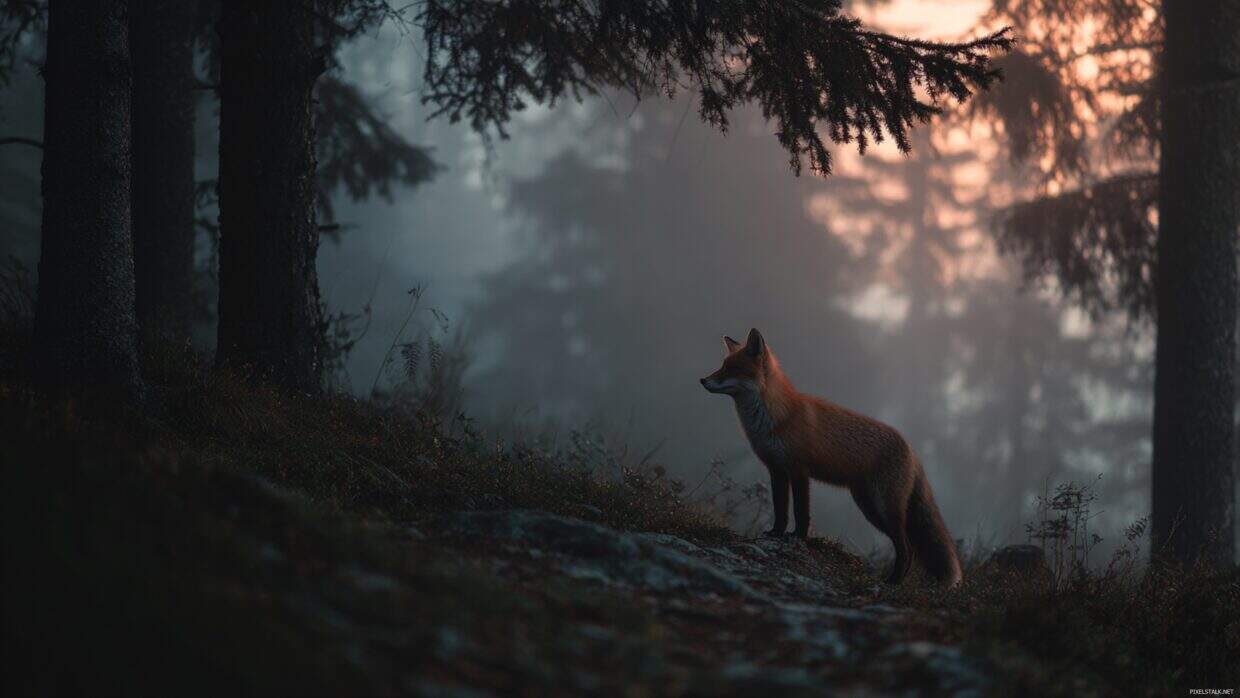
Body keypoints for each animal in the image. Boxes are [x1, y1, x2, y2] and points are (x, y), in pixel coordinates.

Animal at [700, 328, 963, 587]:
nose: (703, 380)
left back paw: (892, 582)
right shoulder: (776, 470)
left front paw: (797, 537)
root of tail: (912, 450)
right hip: (869, 506)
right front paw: (775, 533)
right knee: (910, 548)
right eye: (722, 365)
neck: (775, 419)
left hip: (884, 507)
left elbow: (801, 511)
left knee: (906, 548)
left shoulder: (799, 470)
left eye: (733, 369)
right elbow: (780, 509)